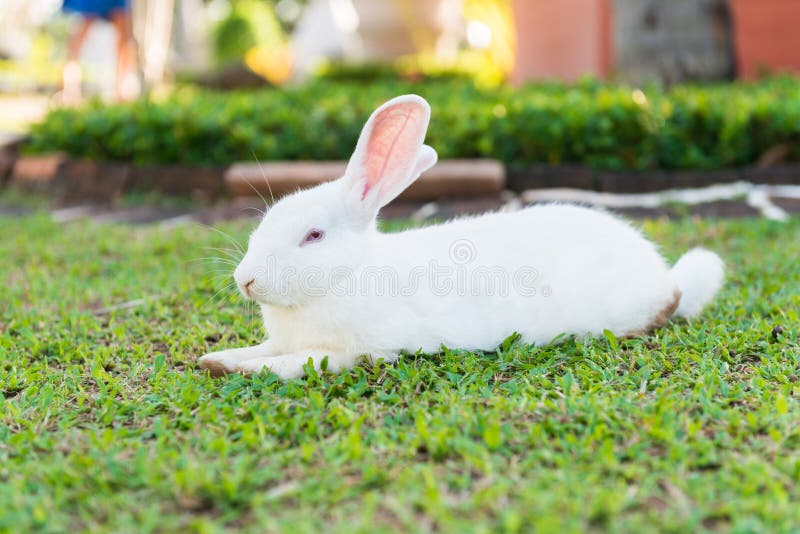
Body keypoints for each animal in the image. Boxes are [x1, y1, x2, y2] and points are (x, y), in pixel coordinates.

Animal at [199, 94, 724, 380]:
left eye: (313, 235)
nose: (245, 280)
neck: (349, 276)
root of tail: (668, 279)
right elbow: (262, 351)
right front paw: (215, 357)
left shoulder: (357, 350)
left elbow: (292, 363)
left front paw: (225, 366)